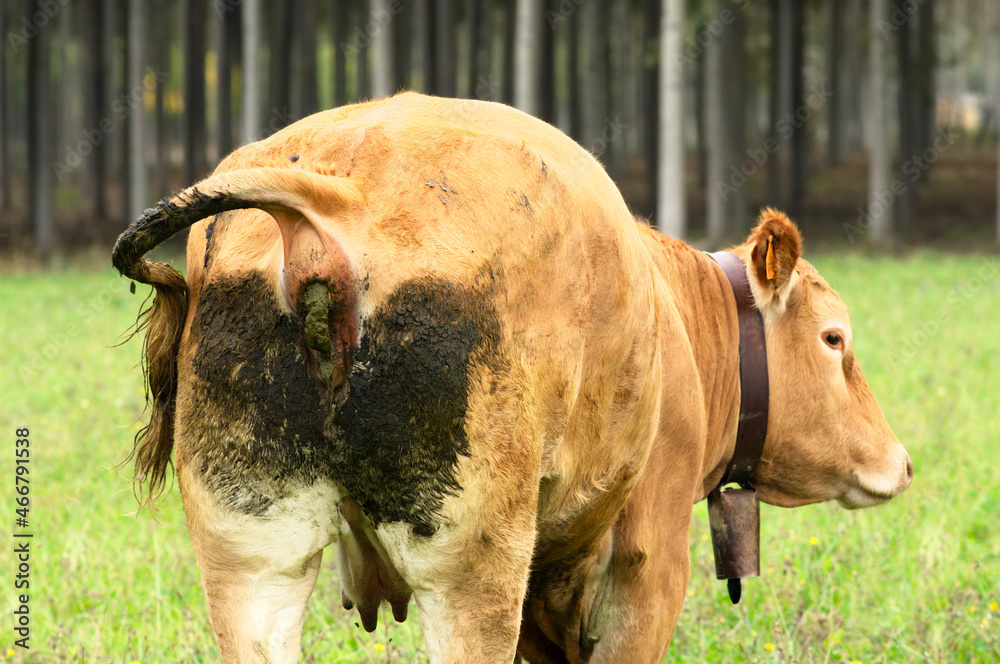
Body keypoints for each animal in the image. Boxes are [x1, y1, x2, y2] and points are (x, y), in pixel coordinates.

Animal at [113, 92, 912, 664]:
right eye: (834, 337)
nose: (901, 462)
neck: (679, 323)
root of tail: (336, 189)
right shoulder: (646, 566)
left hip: (251, 555)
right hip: (471, 570)